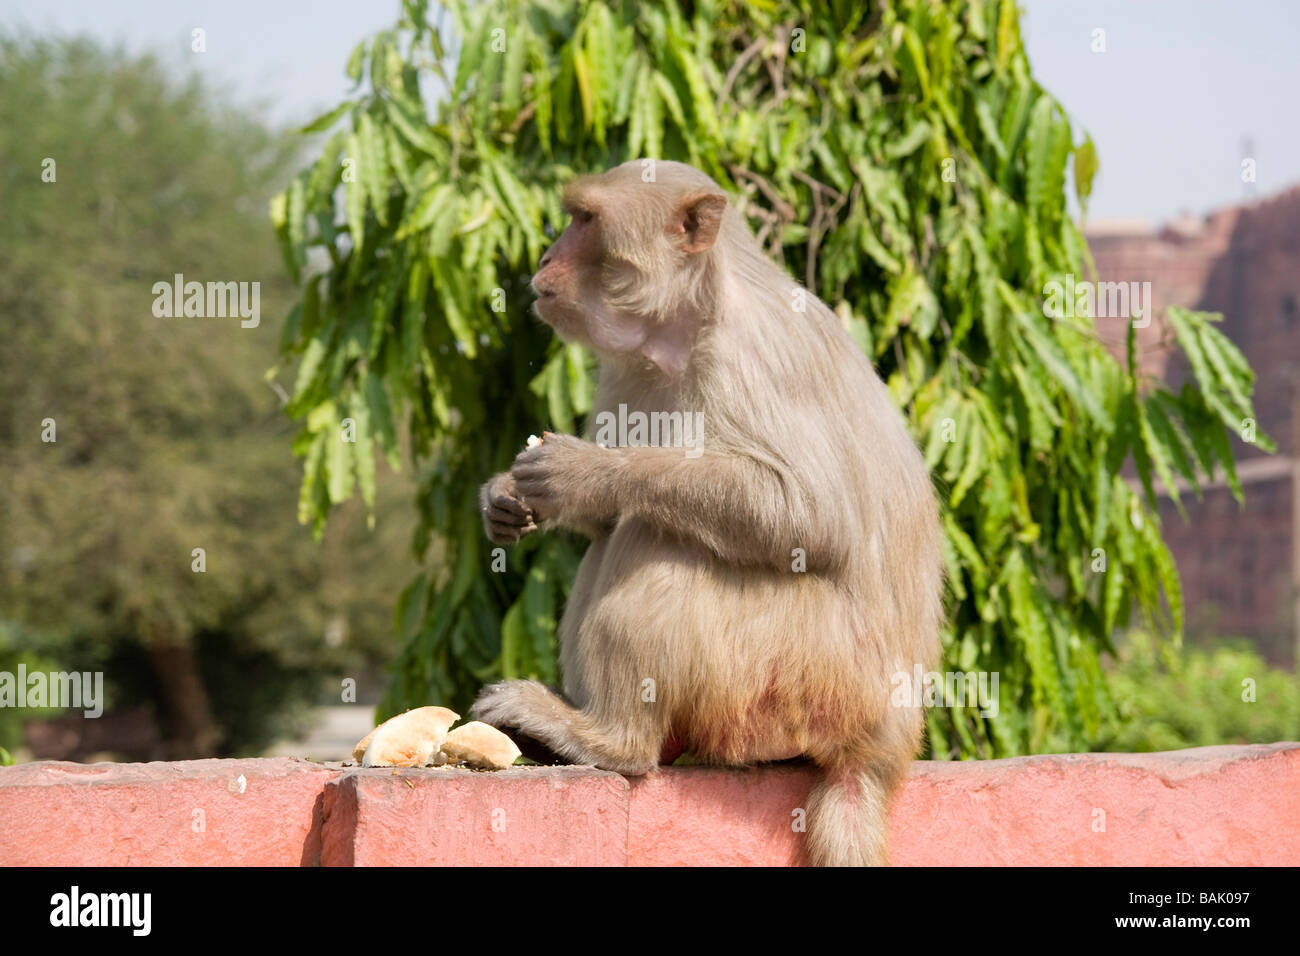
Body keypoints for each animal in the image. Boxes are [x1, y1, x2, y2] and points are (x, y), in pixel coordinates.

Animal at [473, 160, 944, 866]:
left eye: (585, 220)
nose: (547, 257)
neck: (686, 325)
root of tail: (886, 740)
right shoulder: (627, 370)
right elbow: (598, 521)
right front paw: (505, 496)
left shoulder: (754, 356)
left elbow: (810, 515)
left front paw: (587, 473)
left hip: (805, 681)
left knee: (659, 534)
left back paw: (614, 740)